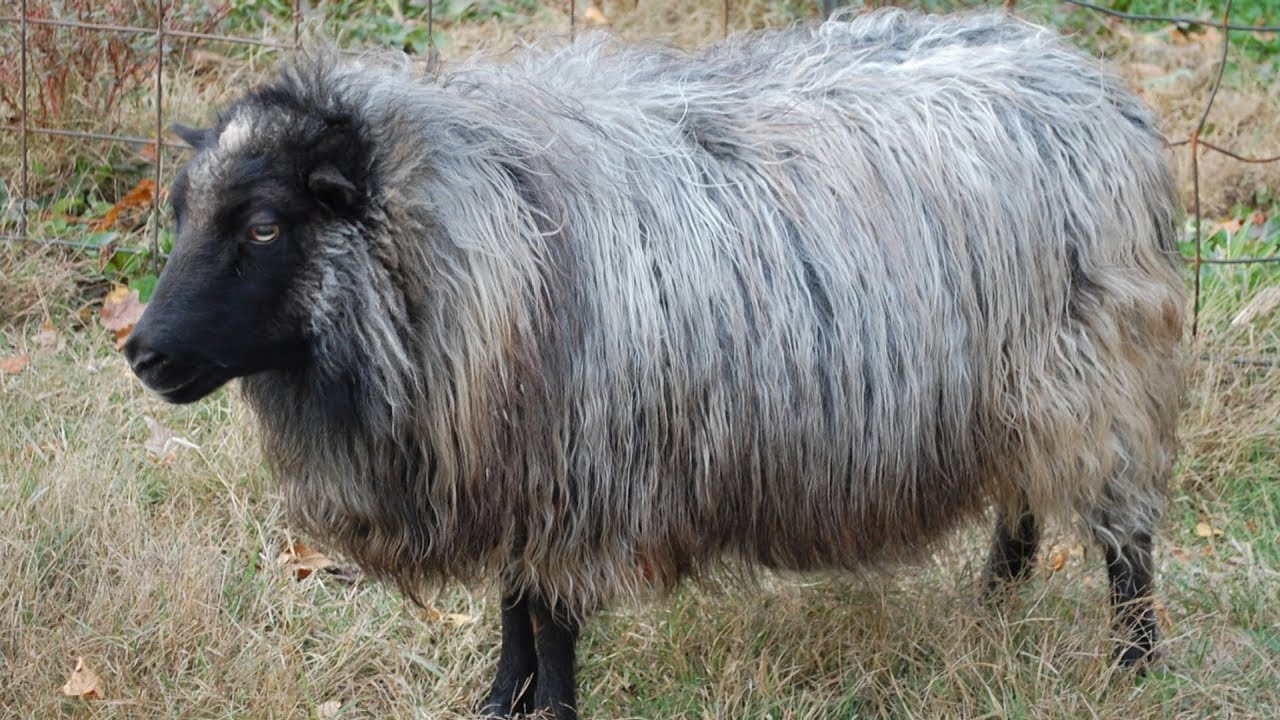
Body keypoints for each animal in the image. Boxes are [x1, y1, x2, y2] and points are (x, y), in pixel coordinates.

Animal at [124, 9, 1185, 718]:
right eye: (181, 211)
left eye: (265, 226)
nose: (143, 354)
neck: (469, 239)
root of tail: (1089, 77)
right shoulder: (524, 479)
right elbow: (515, 609)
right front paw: (498, 705)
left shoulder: (577, 478)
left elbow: (551, 621)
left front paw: (552, 710)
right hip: (1020, 387)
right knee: (1022, 501)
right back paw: (995, 605)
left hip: (1100, 374)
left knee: (1123, 534)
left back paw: (1133, 664)